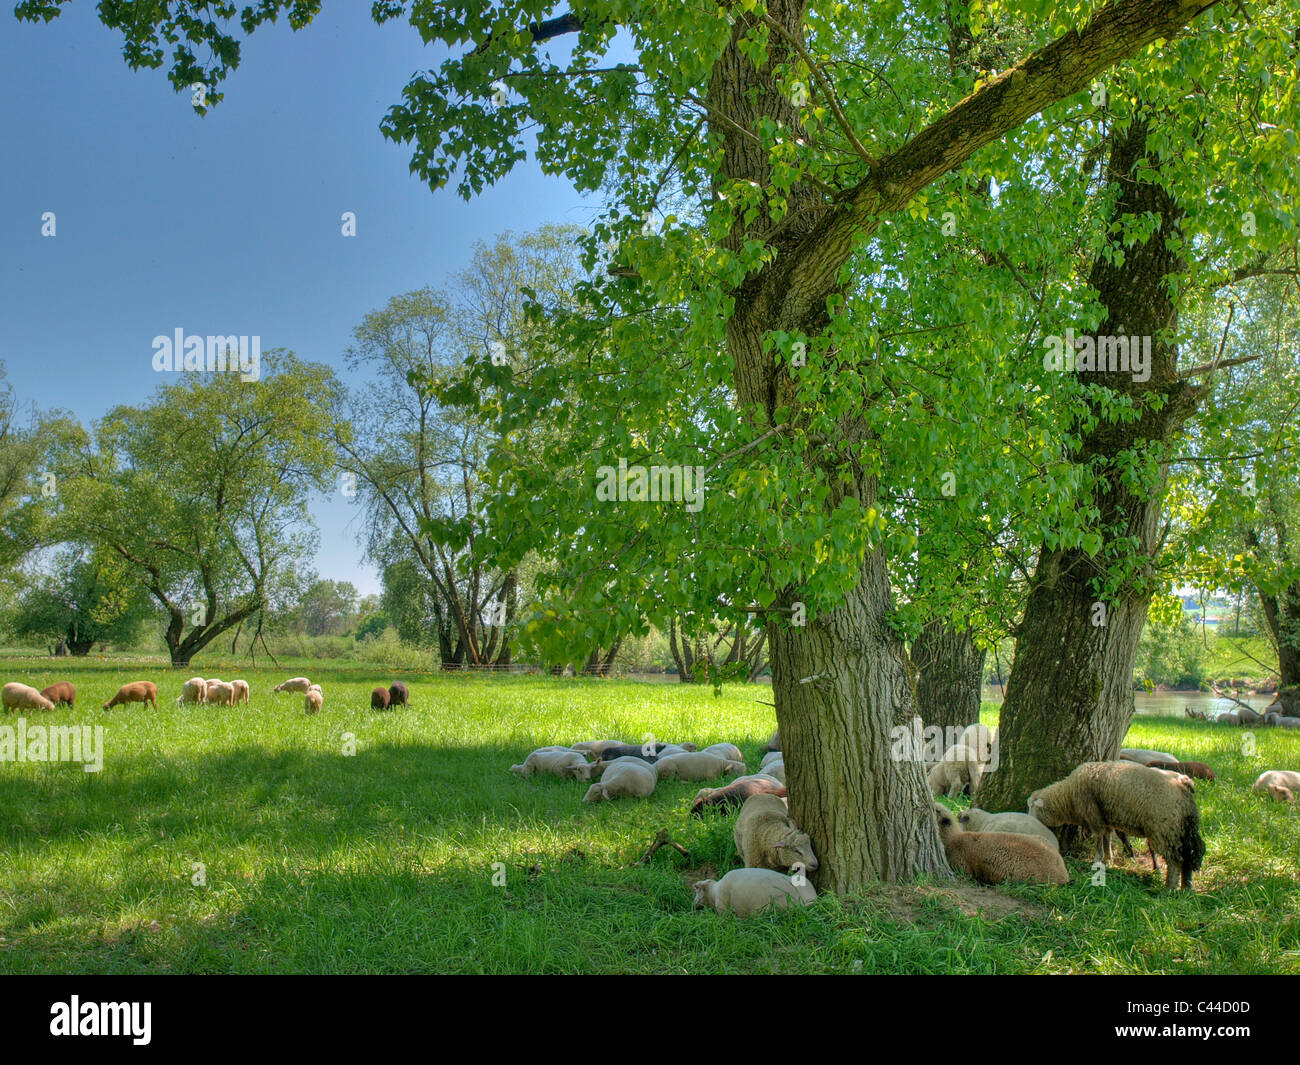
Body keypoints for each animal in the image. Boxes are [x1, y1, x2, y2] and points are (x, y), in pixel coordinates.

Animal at [1028, 760, 1204, 890]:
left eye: (1031, 807)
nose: (1027, 817)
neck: (1068, 795)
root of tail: (1184, 782)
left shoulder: (1093, 813)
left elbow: (1099, 836)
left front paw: (1098, 859)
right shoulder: (1105, 815)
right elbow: (1107, 836)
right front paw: (1108, 857)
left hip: (1165, 828)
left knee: (1175, 860)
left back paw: (1170, 888)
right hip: (1183, 826)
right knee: (1188, 858)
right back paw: (1186, 888)